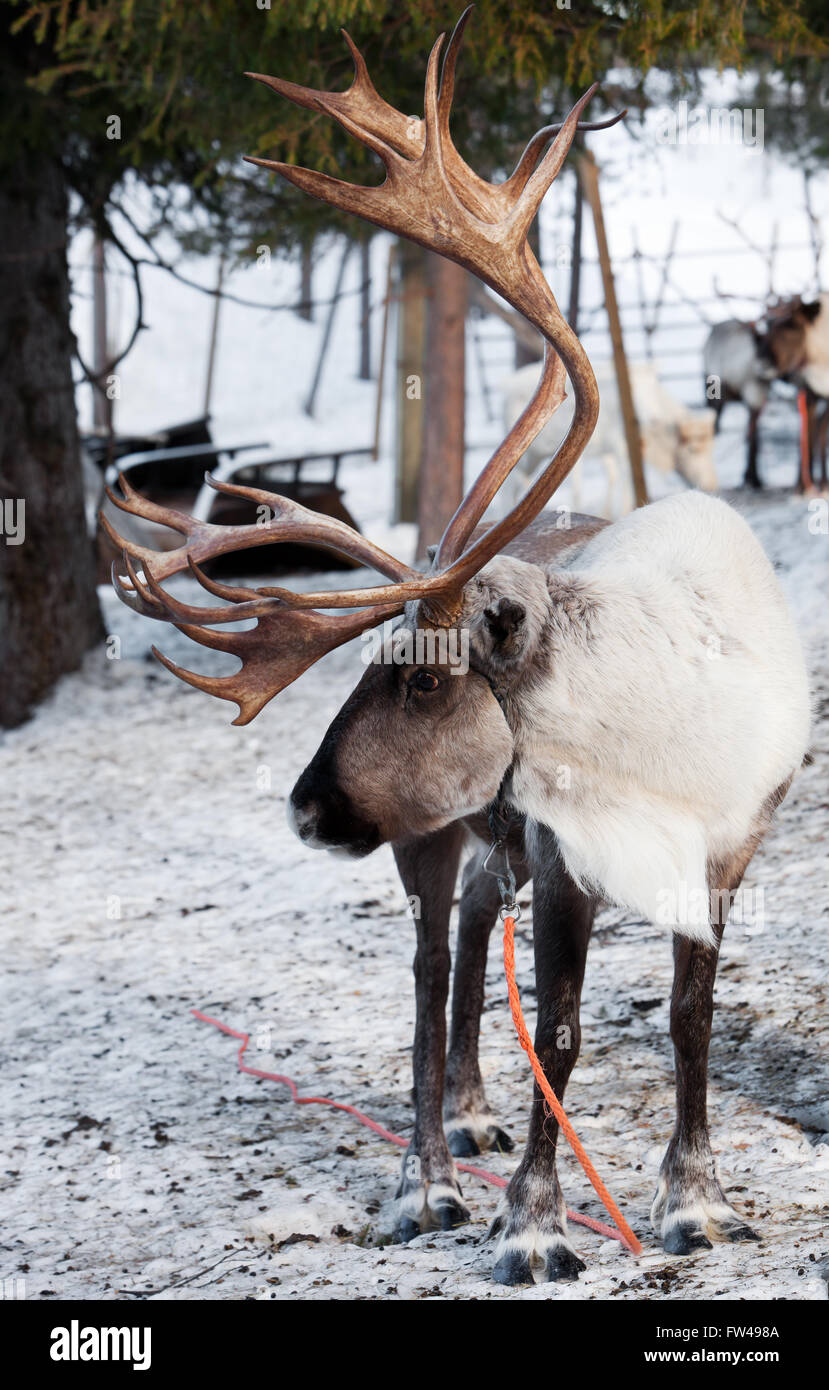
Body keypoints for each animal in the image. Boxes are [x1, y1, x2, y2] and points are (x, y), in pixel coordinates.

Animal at [102, 9, 811, 1286]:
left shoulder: (731, 848)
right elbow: (561, 1032)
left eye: (423, 677)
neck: (656, 725)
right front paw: (528, 1225)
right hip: (426, 831)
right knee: (434, 964)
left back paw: (470, 1114)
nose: (305, 807)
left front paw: (696, 1201)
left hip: (481, 832)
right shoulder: (565, 852)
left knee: (478, 922)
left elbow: (690, 1019)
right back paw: (427, 1176)